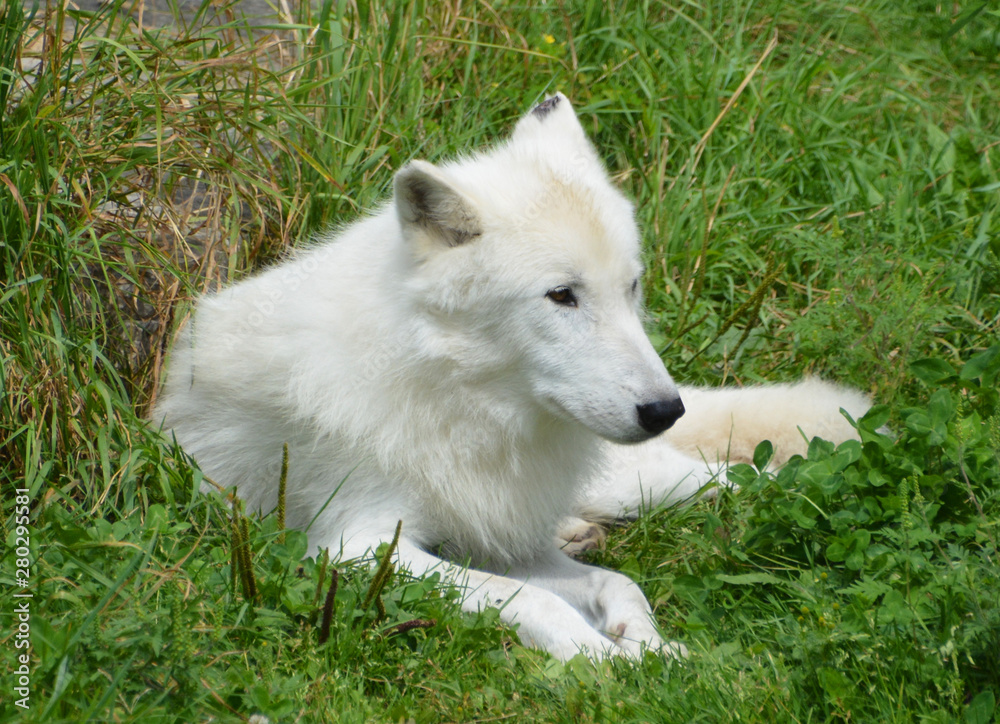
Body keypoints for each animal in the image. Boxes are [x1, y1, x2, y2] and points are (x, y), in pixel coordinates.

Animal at [154, 93, 871, 661]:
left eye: (631, 286)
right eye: (561, 295)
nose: (664, 409)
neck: (454, 398)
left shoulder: (483, 534)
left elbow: (618, 582)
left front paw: (646, 642)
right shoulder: (359, 546)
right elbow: (538, 601)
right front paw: (612, 660)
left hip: (642, 482)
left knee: (739, 476)